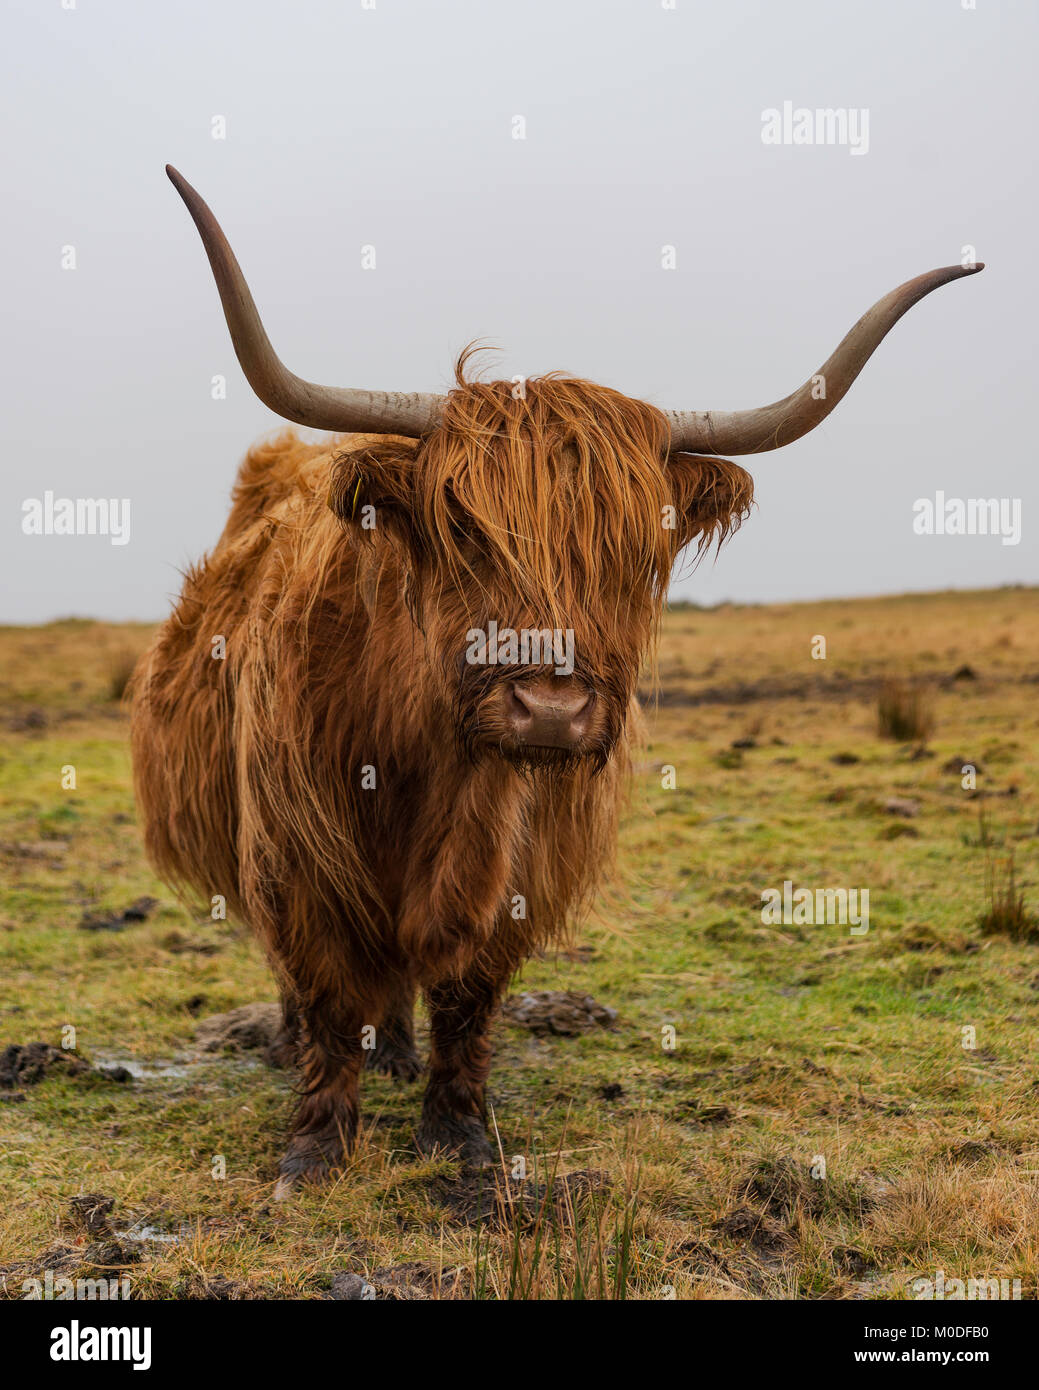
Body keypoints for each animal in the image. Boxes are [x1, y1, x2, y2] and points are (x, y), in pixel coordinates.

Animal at [130, 166, 981, 1193]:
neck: (438, 770)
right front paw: (316, 1149)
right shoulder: (293, 850)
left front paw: (456, 1134)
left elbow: (466, 999)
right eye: (460, 530)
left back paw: (400, 1053)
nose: (550, 708)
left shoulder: (521, 868)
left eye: (639, 546)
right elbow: (327, 995)